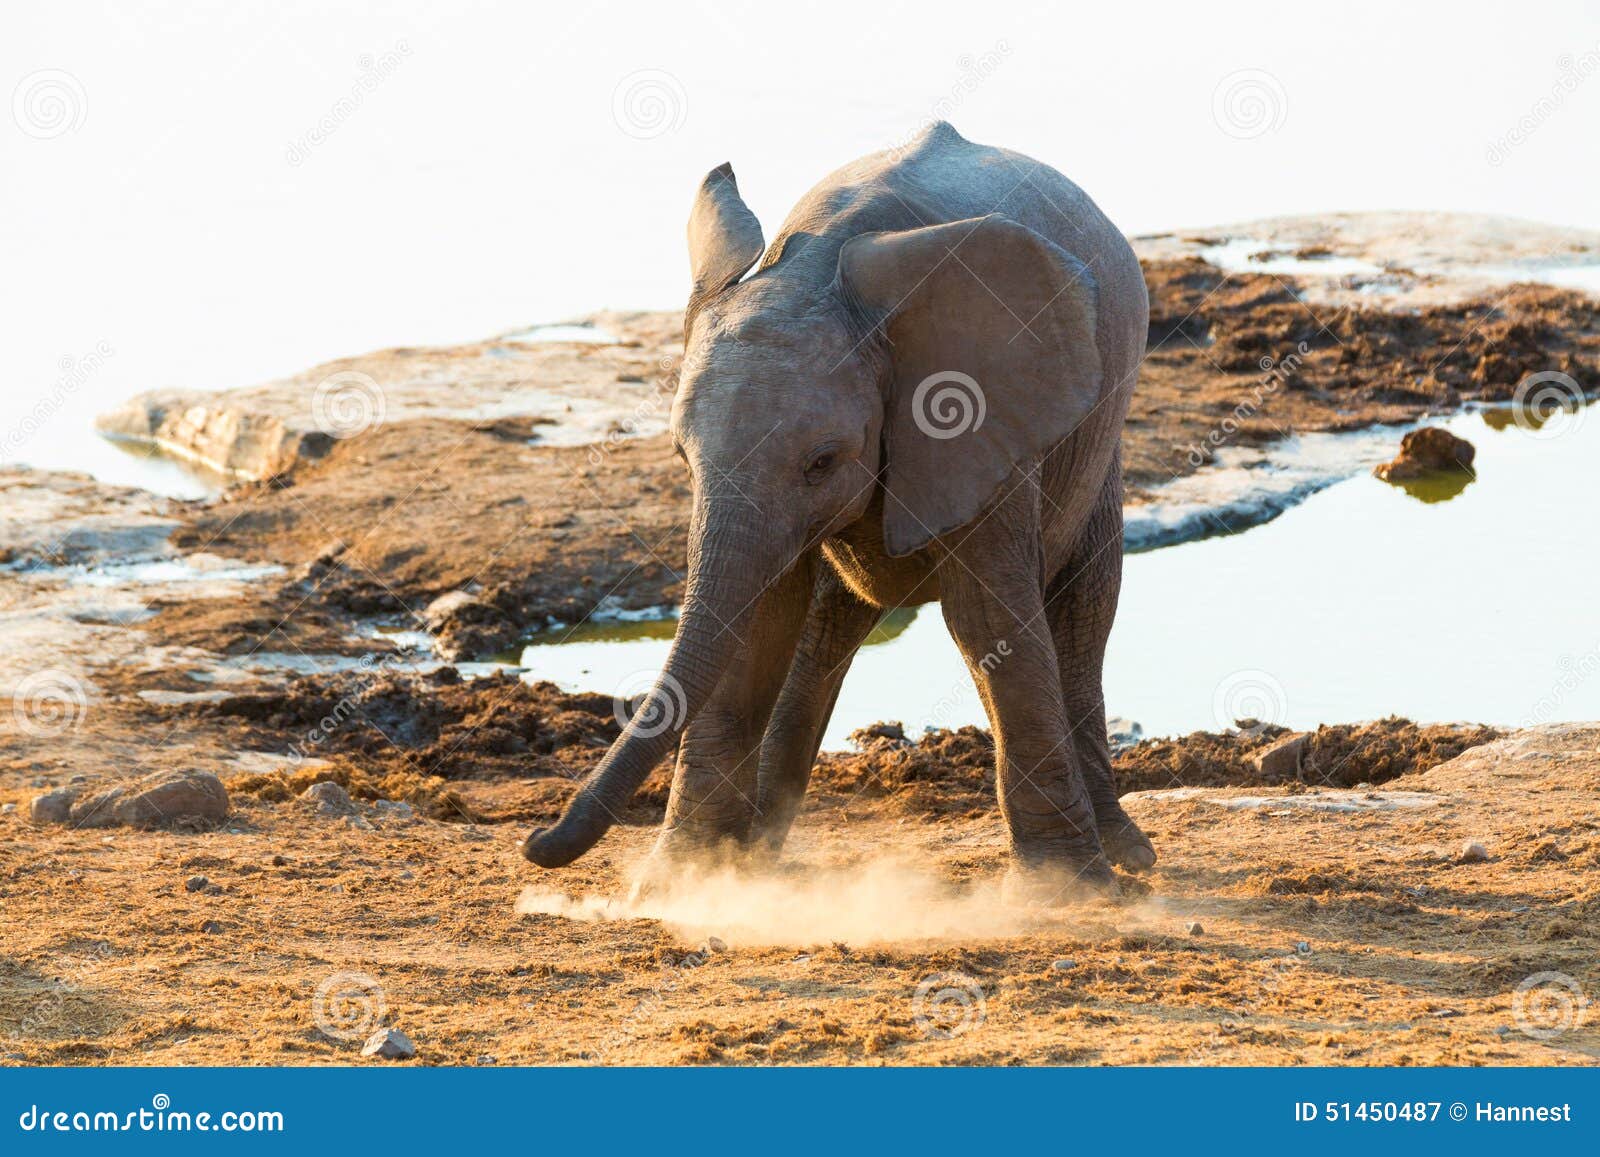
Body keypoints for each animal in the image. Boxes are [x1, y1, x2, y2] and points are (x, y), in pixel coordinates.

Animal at [521, 121, 1152, 902]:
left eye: (822, 462)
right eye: (681, 458)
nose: (533, 841)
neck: (815, 266)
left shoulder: (983, 419)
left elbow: (987, 618)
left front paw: (1063, 896)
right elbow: (757, 618)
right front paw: (681, 886)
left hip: (1097, 436)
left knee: (1082, 609)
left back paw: (1129, 857)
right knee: (824, 631)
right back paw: (759, 851)